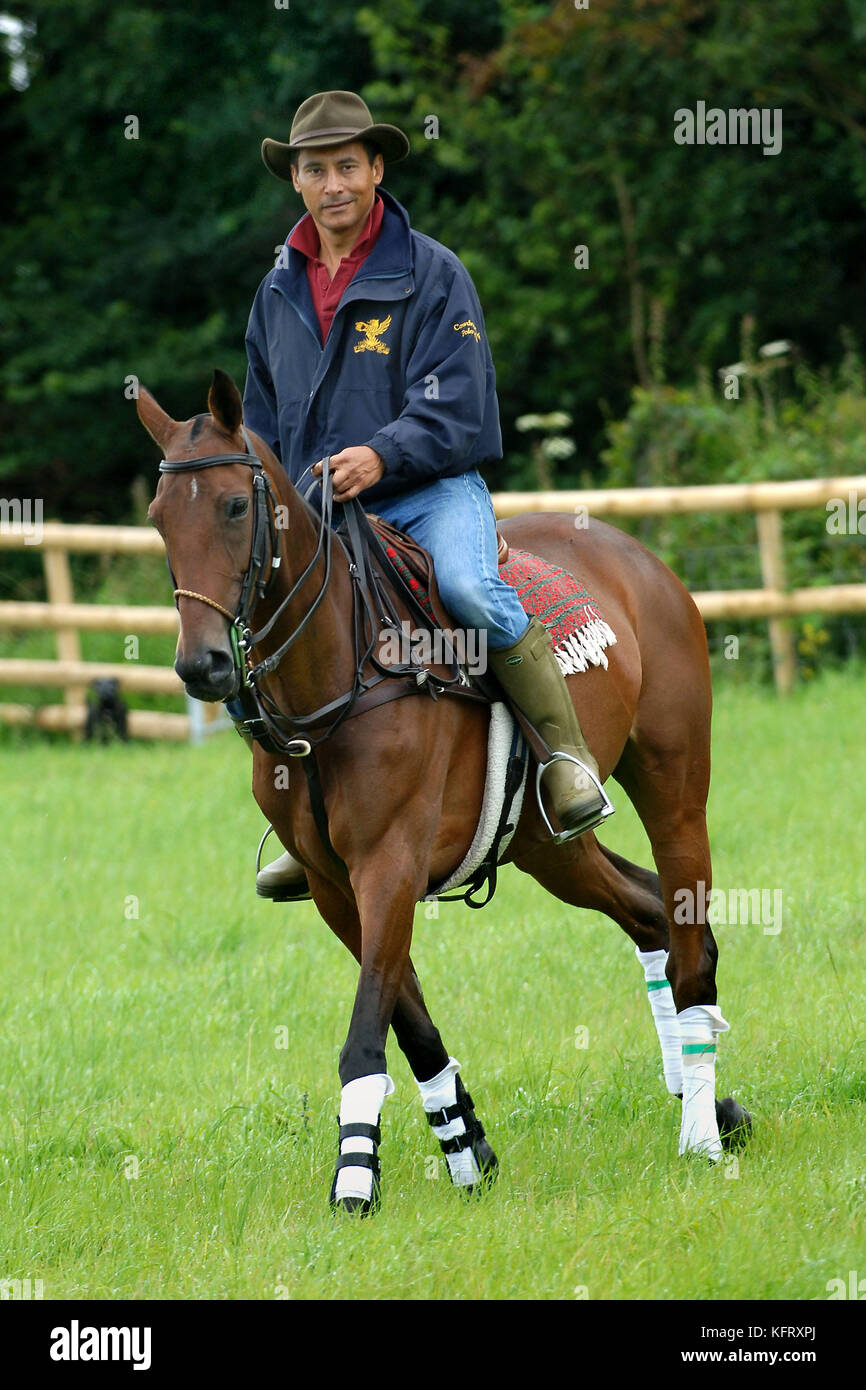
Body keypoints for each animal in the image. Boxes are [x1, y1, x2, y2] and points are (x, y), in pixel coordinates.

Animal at [139, 368, 751, 1215]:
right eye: (159, 519)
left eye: (234, 505)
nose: (201, 666)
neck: (339, 675)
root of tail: (637, 555)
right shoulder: (335, 886)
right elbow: (411, 1023)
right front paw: (468, 1151)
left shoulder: (390, 865)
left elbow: (367, 1030)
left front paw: (354, 1176)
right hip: (547, 845)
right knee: (649, 910)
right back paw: (713, 1104)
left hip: (674, 790)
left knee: (688, 926)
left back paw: (699, 1130)